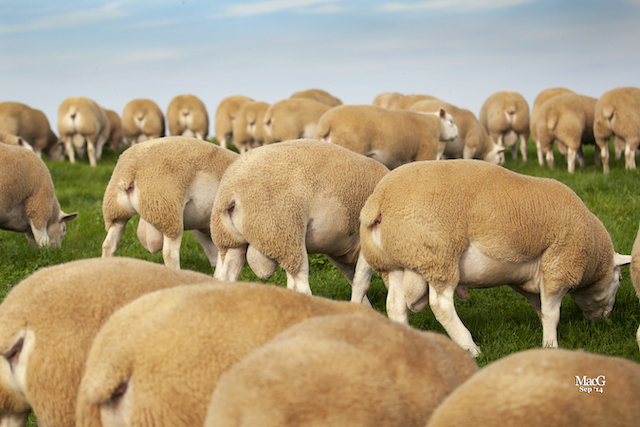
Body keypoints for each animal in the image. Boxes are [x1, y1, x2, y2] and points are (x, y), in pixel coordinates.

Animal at [102, 136, 239, 270]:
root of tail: (131, 169)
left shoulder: (201, 225)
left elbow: (211, 250)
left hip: (115, 211)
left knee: (109, 244)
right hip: (168, 212)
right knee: (170, 253)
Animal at [210, 139, 388, 304]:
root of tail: (229, 192)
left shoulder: (341, 252)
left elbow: (353, 280)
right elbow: (361, 285)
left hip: (230, 240)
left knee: (226, 277)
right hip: (287, 235)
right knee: (300, 284)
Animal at [359, 160, 631, 357]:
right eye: (619, 279)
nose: (606, 318)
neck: (593, 252)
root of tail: (379, 199)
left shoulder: (528, 277)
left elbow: (541, 307)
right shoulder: (559, 264)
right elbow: (552, 311)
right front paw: (551, 345)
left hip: (394, 263)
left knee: (395, 307)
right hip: (437, 256)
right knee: (441, 304)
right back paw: (470, 347)